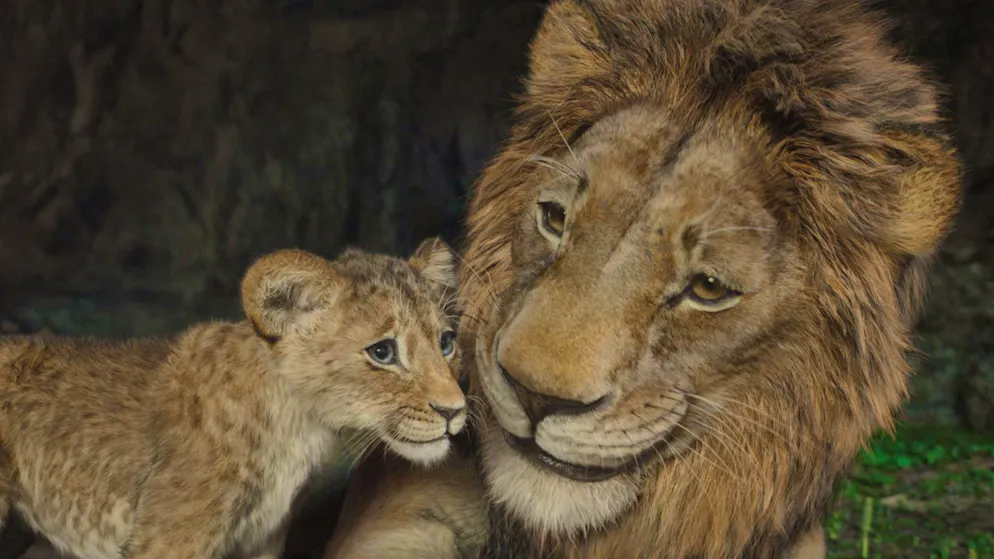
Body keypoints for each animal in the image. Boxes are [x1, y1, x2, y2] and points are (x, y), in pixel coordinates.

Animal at [0, 238, 467, 559]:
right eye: (382, 352)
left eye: (446, 343)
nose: (454, 410)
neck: (299, 428)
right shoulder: (168, 540)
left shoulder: (262, 540)